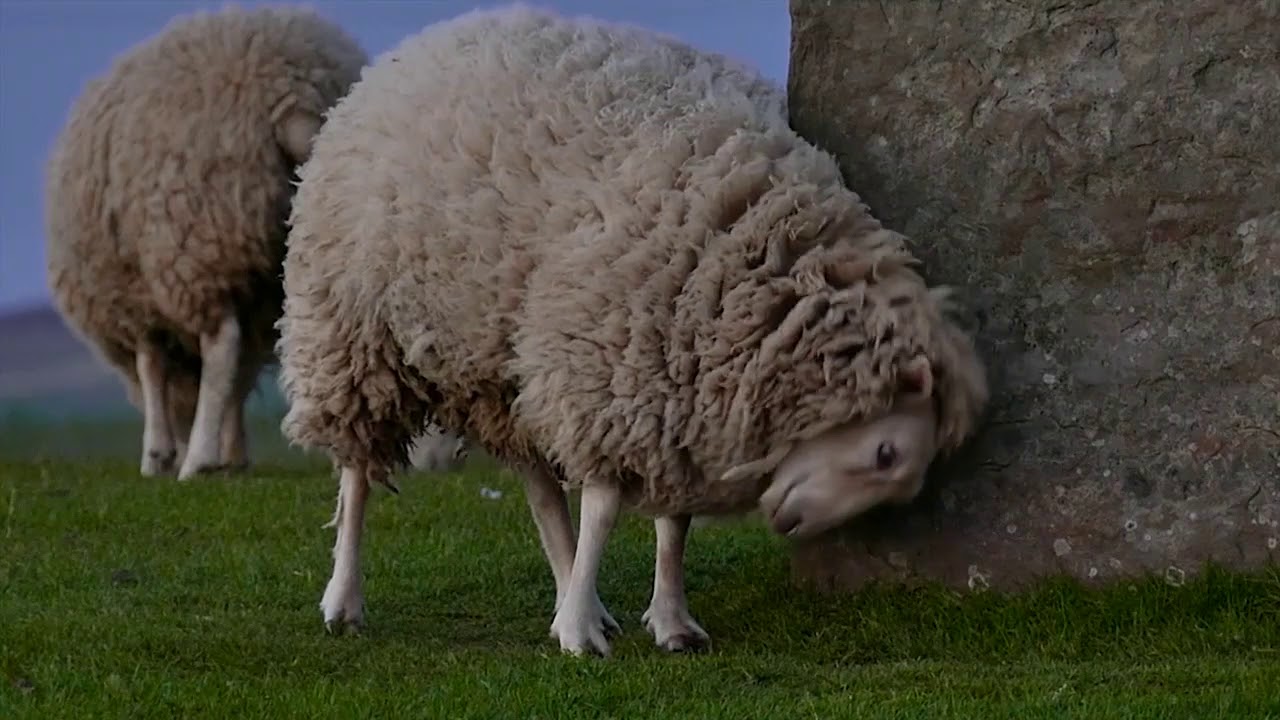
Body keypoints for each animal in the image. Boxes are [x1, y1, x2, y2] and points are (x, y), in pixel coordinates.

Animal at [43, 4, 368, 480]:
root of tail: (289, 94)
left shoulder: (137, 300)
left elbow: (152, 367)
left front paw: (158, 454)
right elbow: (239, 378)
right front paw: (232, 454)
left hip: (198, 241)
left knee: (221, 345)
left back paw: (197, 459)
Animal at [276, 3, 989, 657]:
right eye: (885, 453)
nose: (790, 525)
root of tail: (428, 37)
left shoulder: (683, 395)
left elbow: (672, 523)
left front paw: (668, 618)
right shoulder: (615, 368)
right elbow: (603, 507)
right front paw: (580, 633)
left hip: (502, 371)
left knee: (540, 490)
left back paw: (572, 590)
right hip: (351, 333)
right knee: (356, 472)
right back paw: (344, 599)